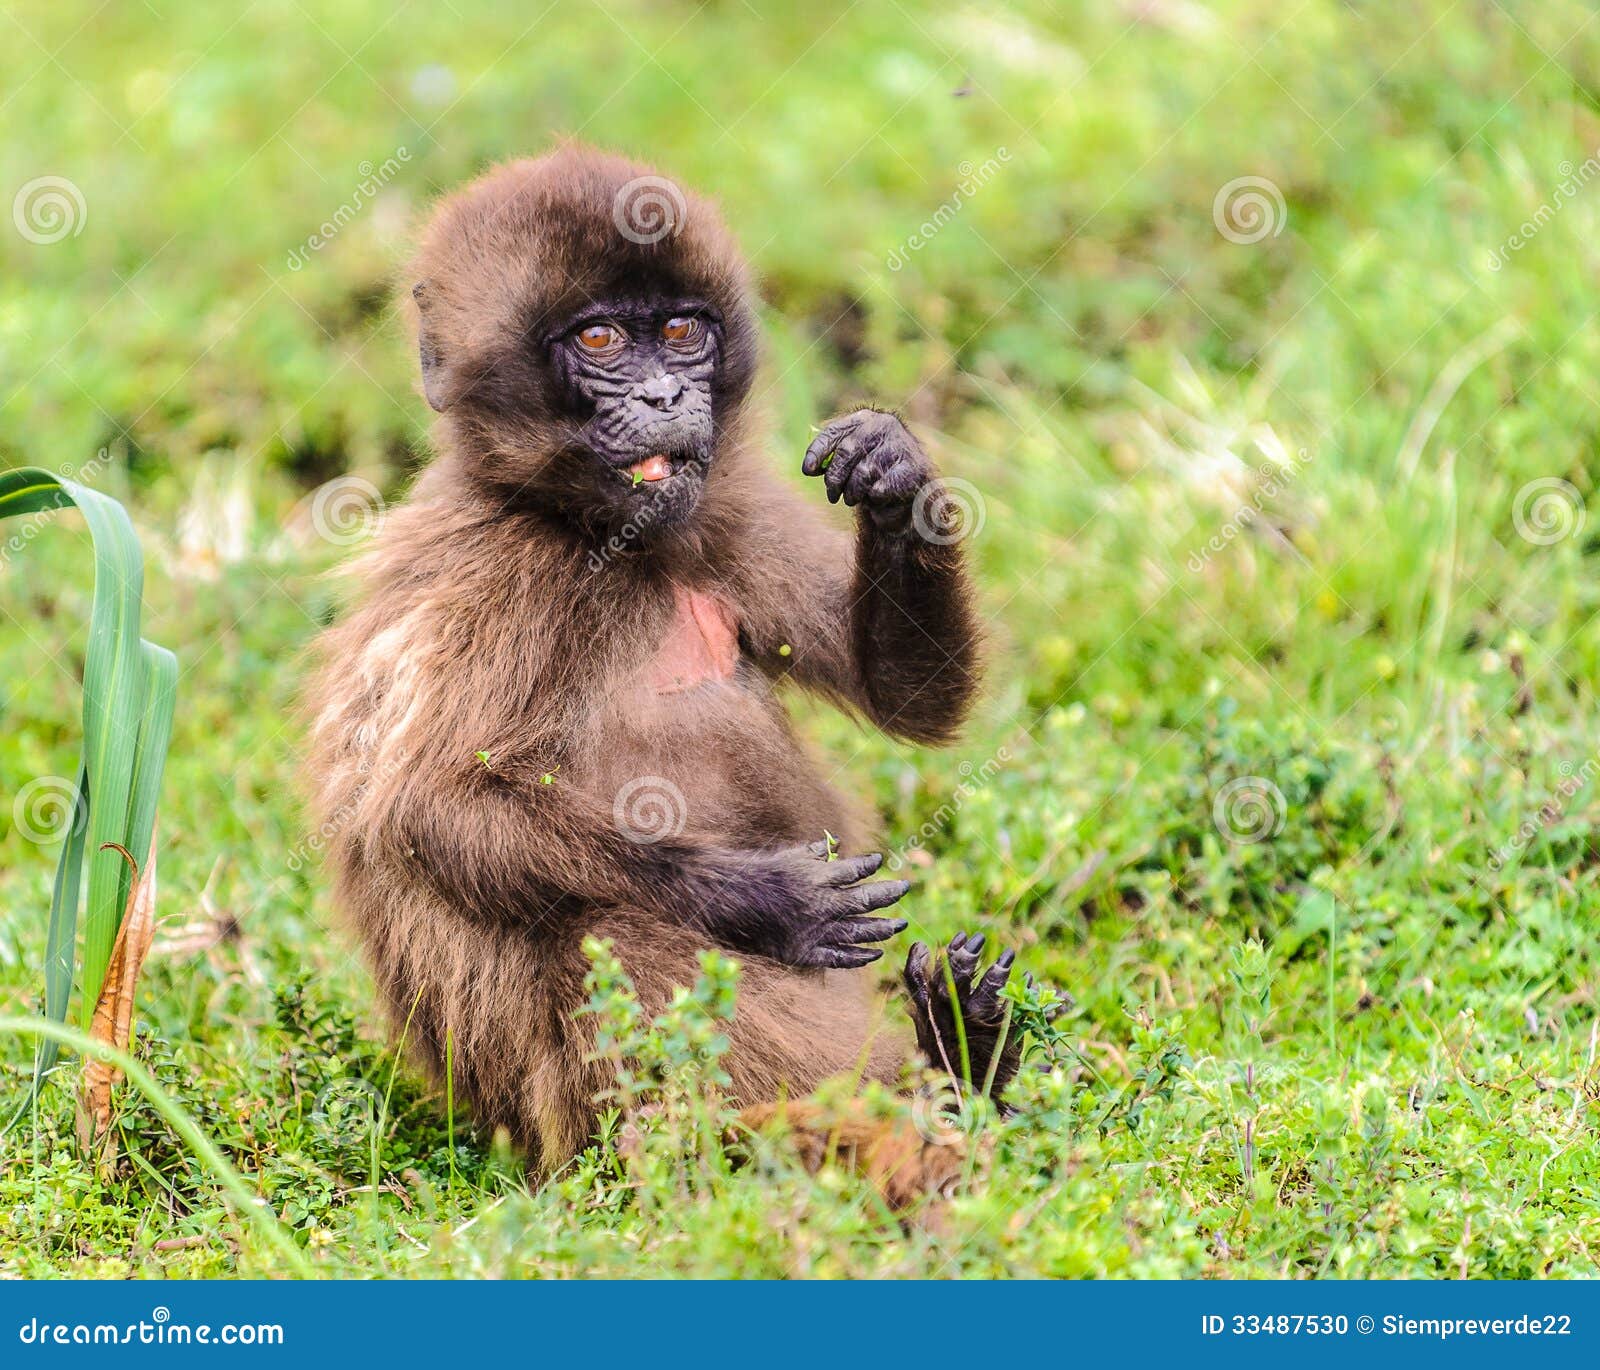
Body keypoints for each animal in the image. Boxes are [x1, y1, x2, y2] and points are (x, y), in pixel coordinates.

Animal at [306, 144, 1025, 1191]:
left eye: (682, 332)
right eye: (601, 340)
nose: (662, 400)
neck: (594, 537)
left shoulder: (720, 503)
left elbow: (908, 702)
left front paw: (892, 479)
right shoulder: (506, 575)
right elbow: (427, 809)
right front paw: (763, 902)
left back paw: (959, 1059)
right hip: (562, 1118)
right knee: (599, 928)